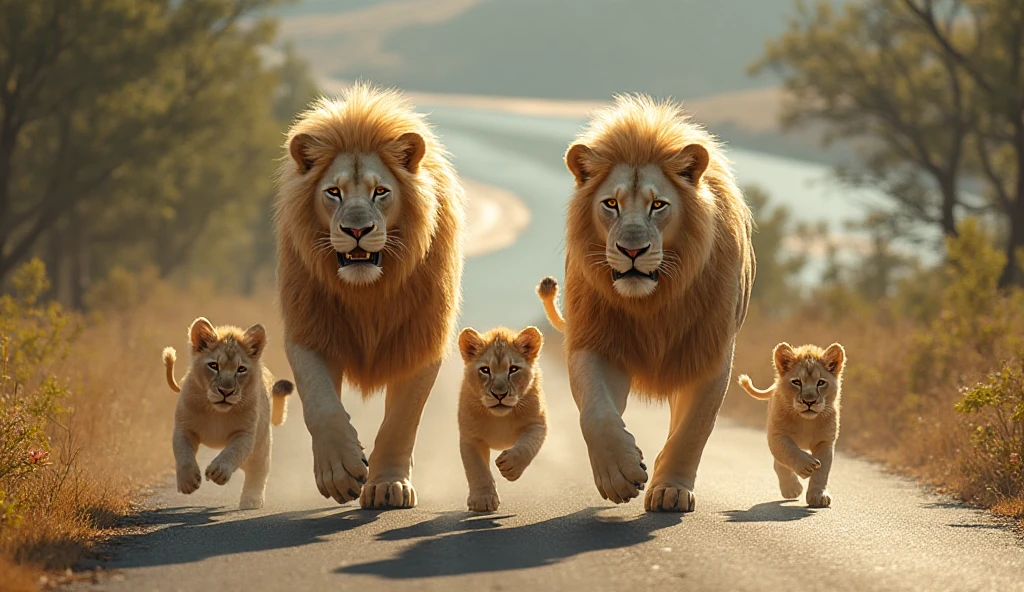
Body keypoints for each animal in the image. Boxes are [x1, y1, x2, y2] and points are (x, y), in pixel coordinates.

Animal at [163, 317, 293, 510]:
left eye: (241, 369)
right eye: (213, 365)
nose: (226, 391)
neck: (216, 412)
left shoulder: (245, 433)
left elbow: (233, 451)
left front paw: (218, 471)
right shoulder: (184, 428)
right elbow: (183, 453)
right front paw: (188, 482)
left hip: (261, 444)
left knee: (258, 470)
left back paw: (252, 499)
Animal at [275, 83, 465, 509]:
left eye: (380, 192)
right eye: (333, 192)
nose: (357, 230)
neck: (368, 292)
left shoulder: (422, 337)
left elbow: (402, 421)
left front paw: (388, 485)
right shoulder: (308, 327)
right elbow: (320, 404)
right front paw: (339, 472)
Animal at [457, 326, 547, 512]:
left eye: (513, 369)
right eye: (485, 370)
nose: (499, 394)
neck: (500, 418)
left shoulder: (537, 423)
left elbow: (527, 445)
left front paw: (510, 466)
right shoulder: (470, 436)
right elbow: (476, 468)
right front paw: (482, 500)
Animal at [537, 94, 755, 512]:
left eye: (658, 205)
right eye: (611, 203)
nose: (632, 250)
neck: (652, 302)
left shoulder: (710, 351)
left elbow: (693, 429)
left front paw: (670, 490)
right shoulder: (597, 341)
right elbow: (596, 411)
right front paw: (618, 473)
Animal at [737, 342, 846, 508]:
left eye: (821, 383)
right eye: (797, 382)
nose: (809, 401)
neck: (806, 421)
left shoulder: (825, 441)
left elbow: (823, 471)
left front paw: (818, 496)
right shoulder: (777, 435)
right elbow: (788, 451)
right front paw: (806, 466)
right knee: (779, 463)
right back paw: (791, 488)